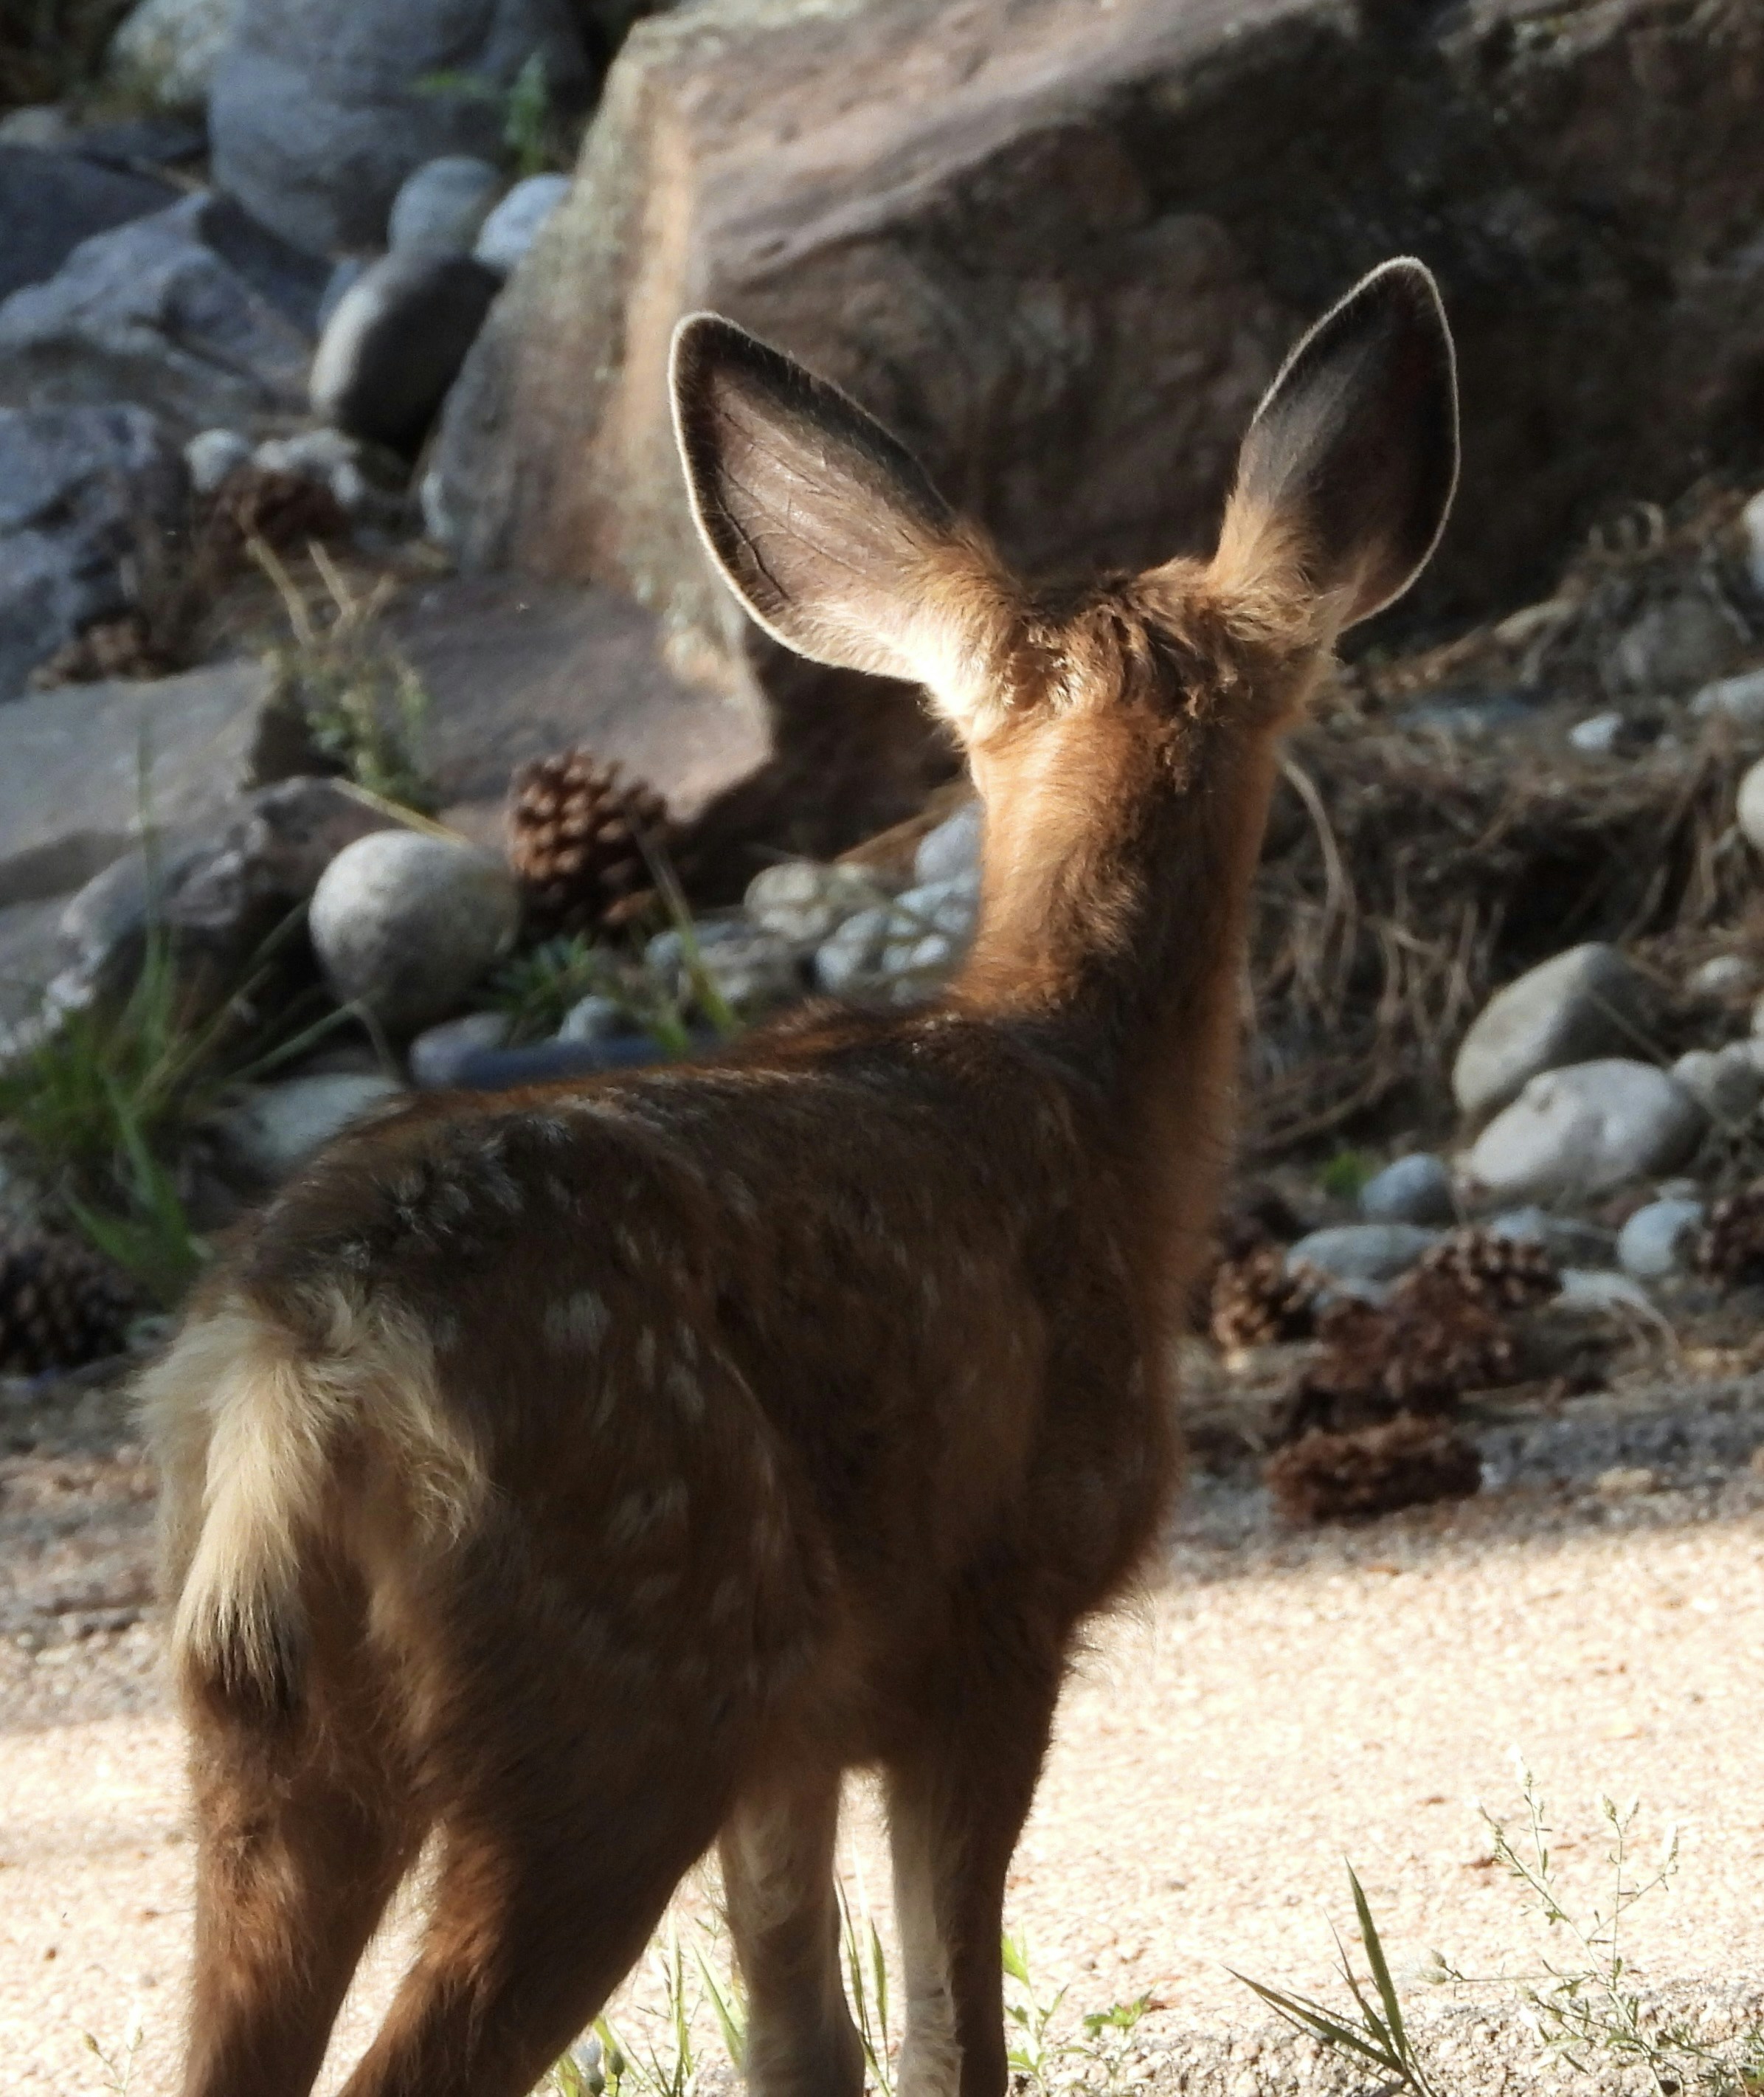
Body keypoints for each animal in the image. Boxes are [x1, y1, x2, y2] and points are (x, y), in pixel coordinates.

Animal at [144, 256, 1457, 2097]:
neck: (1070, 1087)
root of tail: (292, 1373)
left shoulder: (804, 1728)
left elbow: (795, 2025)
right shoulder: (990, 1620)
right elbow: (945, 2026)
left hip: (267, 1739)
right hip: (623, 1683)